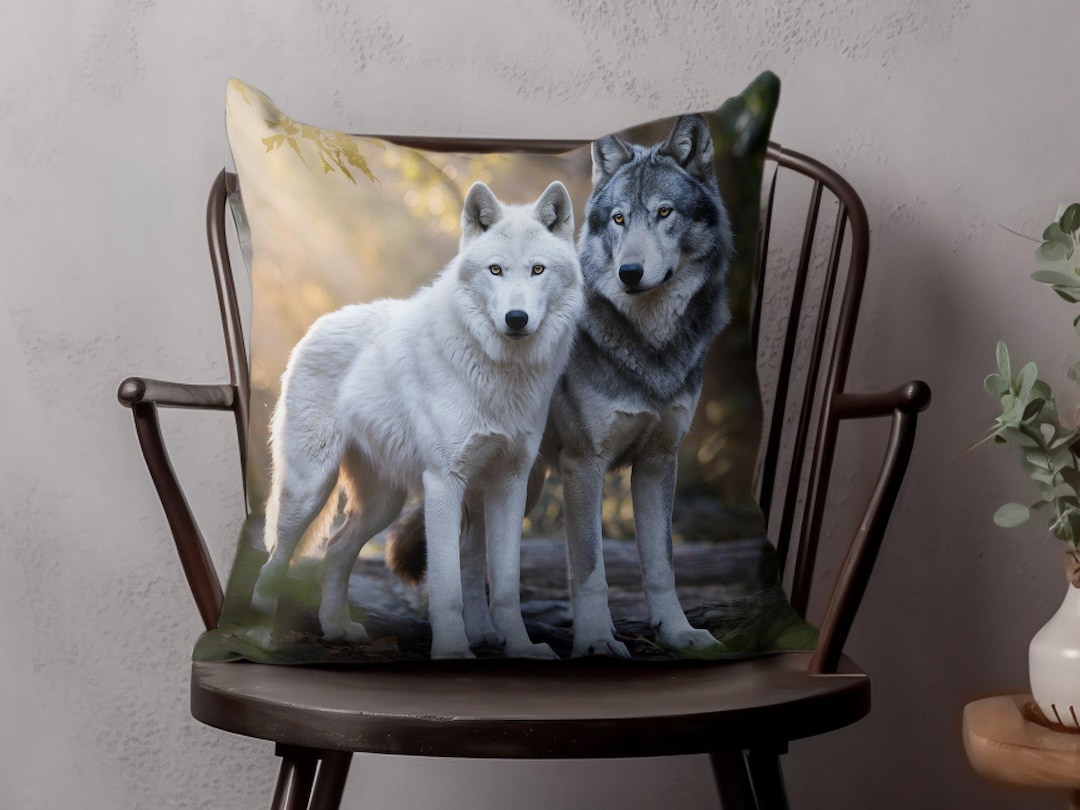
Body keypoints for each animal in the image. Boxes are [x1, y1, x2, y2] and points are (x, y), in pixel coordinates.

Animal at [250, 180, 583, 660]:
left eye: (538, 270)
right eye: (496, 270)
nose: (516, 318)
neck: (501, 373)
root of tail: (317, 325)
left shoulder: (510, 483)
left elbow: (504, 585)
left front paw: (521, 648)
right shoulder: (444, 482)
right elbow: (447, 587)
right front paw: (453, 652)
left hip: (383, 504)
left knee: (335, 549)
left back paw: (337, 629)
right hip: (310, 489)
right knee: (274, 558)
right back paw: (257, 637)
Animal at [387, 116, 735, 659]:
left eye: (664, 212)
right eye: (617, 219)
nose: (629, 273)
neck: (649, 345)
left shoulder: (659, 461)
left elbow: (661, 566)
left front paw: (678, 632)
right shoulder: (583, 464)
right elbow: (589, 570)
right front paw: (596, 641)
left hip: (514, 480)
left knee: (474, 552)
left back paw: (485, 633)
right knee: (465, 552)